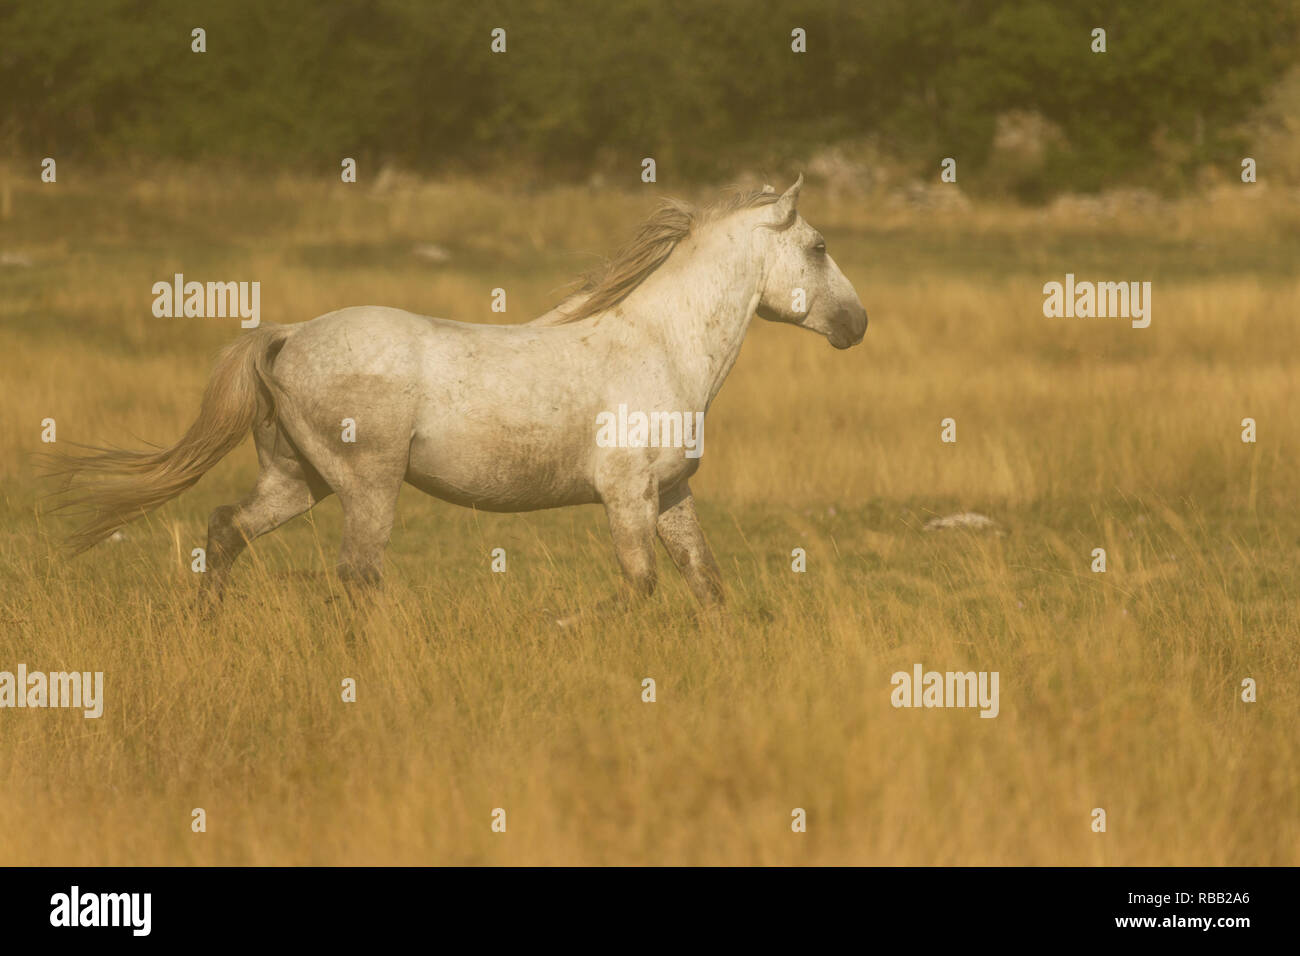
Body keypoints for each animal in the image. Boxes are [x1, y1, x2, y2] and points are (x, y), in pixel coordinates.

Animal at [50, 175, 867, 614]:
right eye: (820, 246)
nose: (857, 324)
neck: (660, 348)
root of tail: (286, 336)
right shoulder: (625, 495)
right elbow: (638, 587)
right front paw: (561, 630)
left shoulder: (669, 494)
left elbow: (707, 584)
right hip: (366, 484)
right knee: (356, 575)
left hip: (299, 479)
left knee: (227, 530)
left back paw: (208, 627)